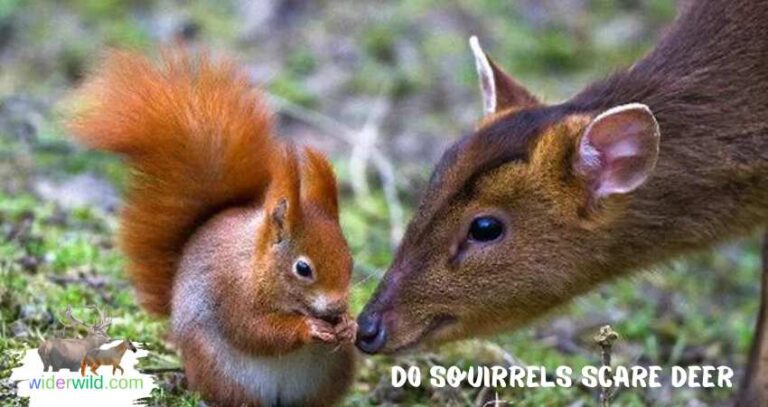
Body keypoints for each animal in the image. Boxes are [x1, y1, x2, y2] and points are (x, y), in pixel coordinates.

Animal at [67, 50, 356, 406]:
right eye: (303, 269)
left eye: (350, 261)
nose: (336, 307)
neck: (256, 265)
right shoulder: (230, 291)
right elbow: (253, 331)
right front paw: (310, 328)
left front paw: (349, 325)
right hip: (218, 369)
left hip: (331, 374)